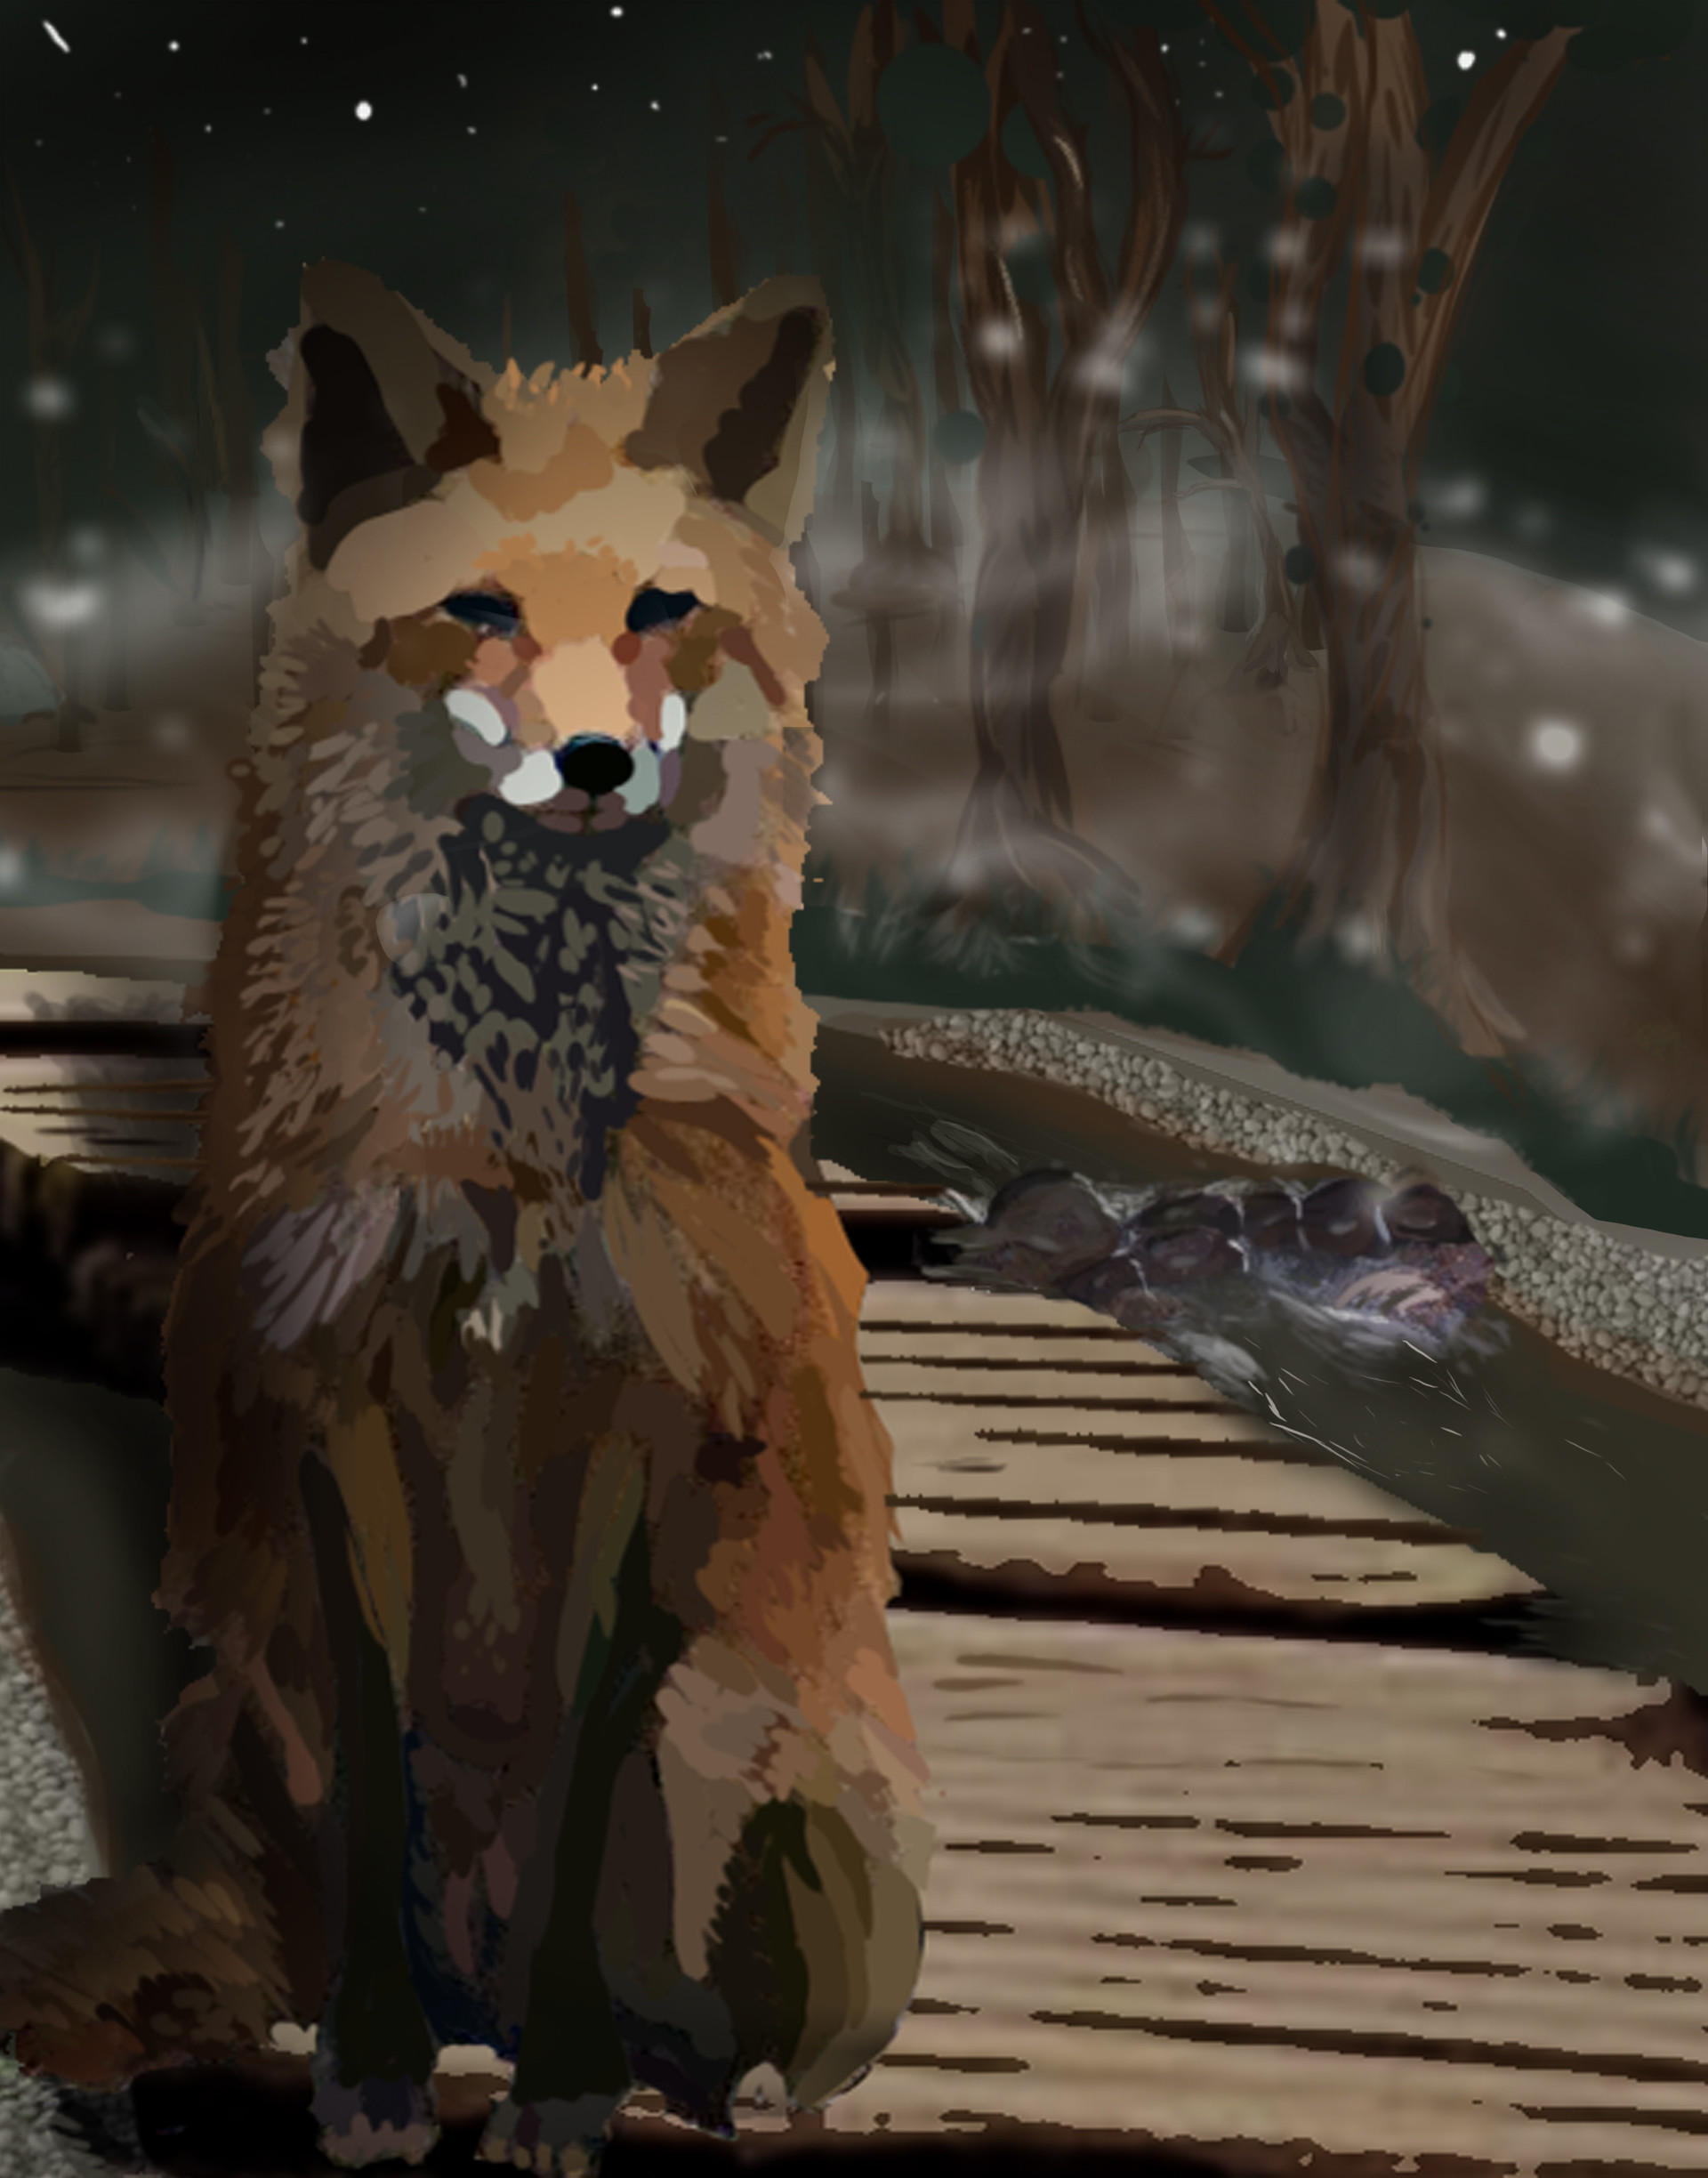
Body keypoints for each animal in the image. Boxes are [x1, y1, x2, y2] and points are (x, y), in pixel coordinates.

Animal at [0, 263, 933, 2173]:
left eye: (663, 613)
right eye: (480, 612)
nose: (592, 760)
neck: (512, 1154)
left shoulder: (643, 1419)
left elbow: (575, 1799)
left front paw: (562, 2093)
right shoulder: (329, 1402)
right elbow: (377, 1751)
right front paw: (366, 2069)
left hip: (754, 1776)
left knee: (751, 2029)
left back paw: (679, 2076)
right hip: (269, 1728)